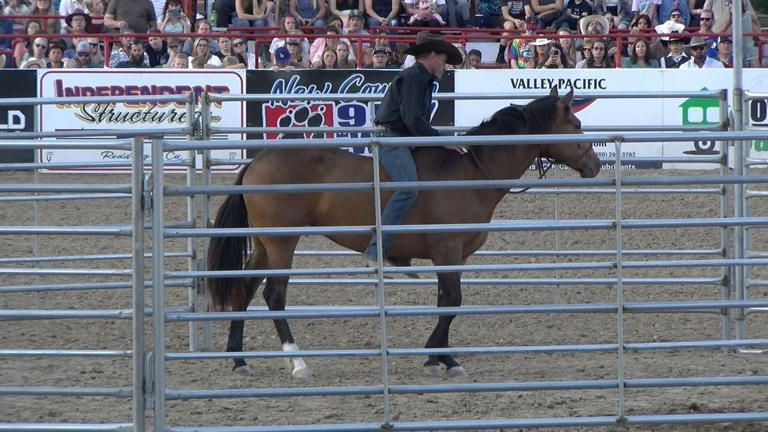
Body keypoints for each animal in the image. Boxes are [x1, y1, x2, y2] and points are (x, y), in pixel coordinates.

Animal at [206, 88, 601, 379]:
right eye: (577, 124)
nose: (595, 165)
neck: (470, 172)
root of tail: (256, 162)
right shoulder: (447, 251)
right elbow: (452, 301)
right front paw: (437, 358)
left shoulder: (456, 256)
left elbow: (446, 302)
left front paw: (443, 358)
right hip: (282, 242)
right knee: (274, 295)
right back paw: (298, 362)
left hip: (264, 243)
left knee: (245, 289)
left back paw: (238, 359)